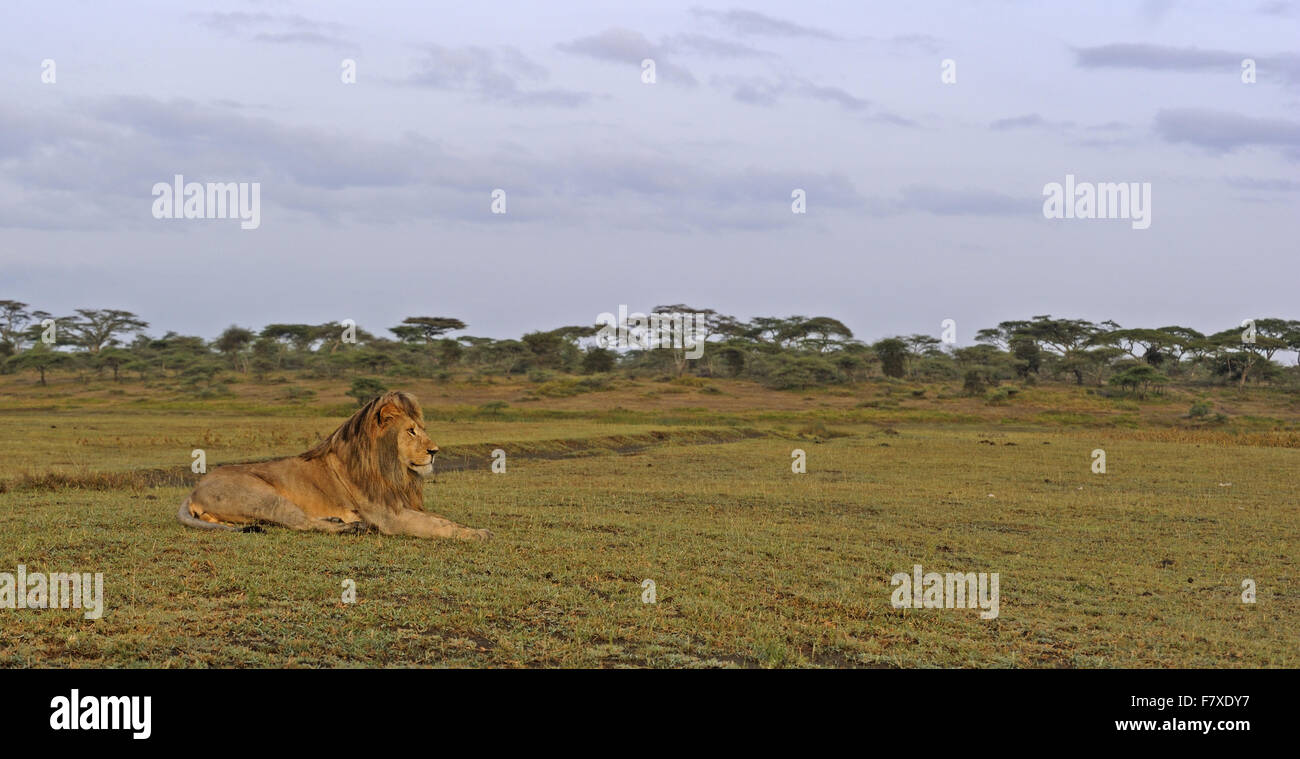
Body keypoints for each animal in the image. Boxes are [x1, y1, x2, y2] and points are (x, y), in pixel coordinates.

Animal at [177, 391, 492, 541]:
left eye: (421, 429)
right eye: (411, 431)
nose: (435, 451)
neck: (391, 469)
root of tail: (193, 490)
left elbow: (442, 520)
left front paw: (474, 529)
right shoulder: (389, 516)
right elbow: (436, 526)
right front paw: (477, 534)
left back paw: (340, 521)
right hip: (265, 496)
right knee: (301, 523)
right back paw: (351, 528)